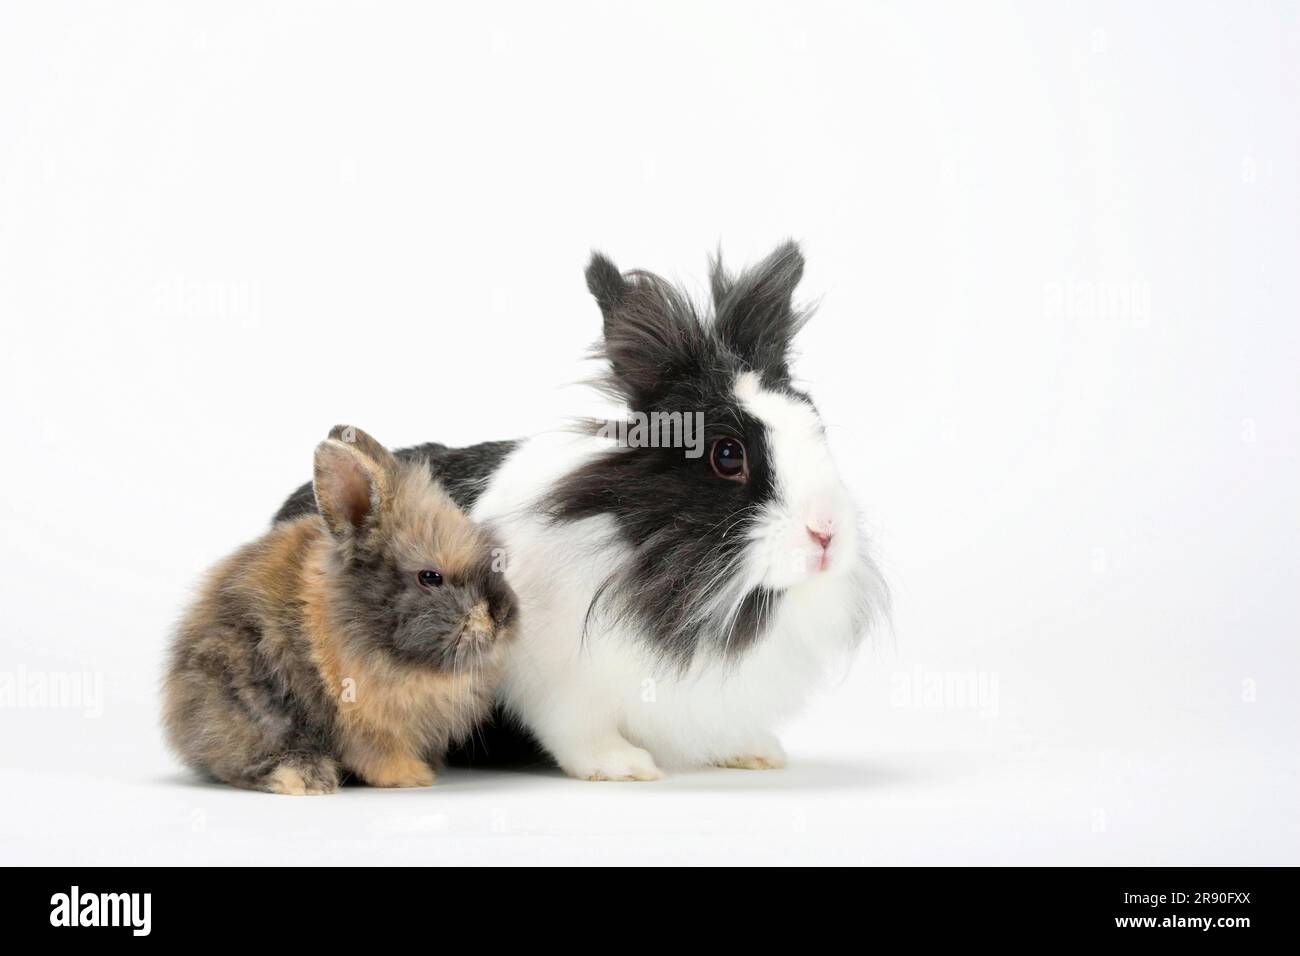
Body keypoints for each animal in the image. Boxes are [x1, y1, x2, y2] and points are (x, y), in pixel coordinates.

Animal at [164, 425, 517, 794]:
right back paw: (304, 777)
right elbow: (379, 754)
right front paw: (412, 776)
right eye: (430, 576)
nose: (502, 616)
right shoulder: (364, 720)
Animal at [275, 242, 888, 781]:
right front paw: (625, 766)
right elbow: (577, 731)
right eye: (727, 455)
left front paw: (756, 752)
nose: (827, 535)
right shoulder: (554, 685)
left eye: (815, 423)